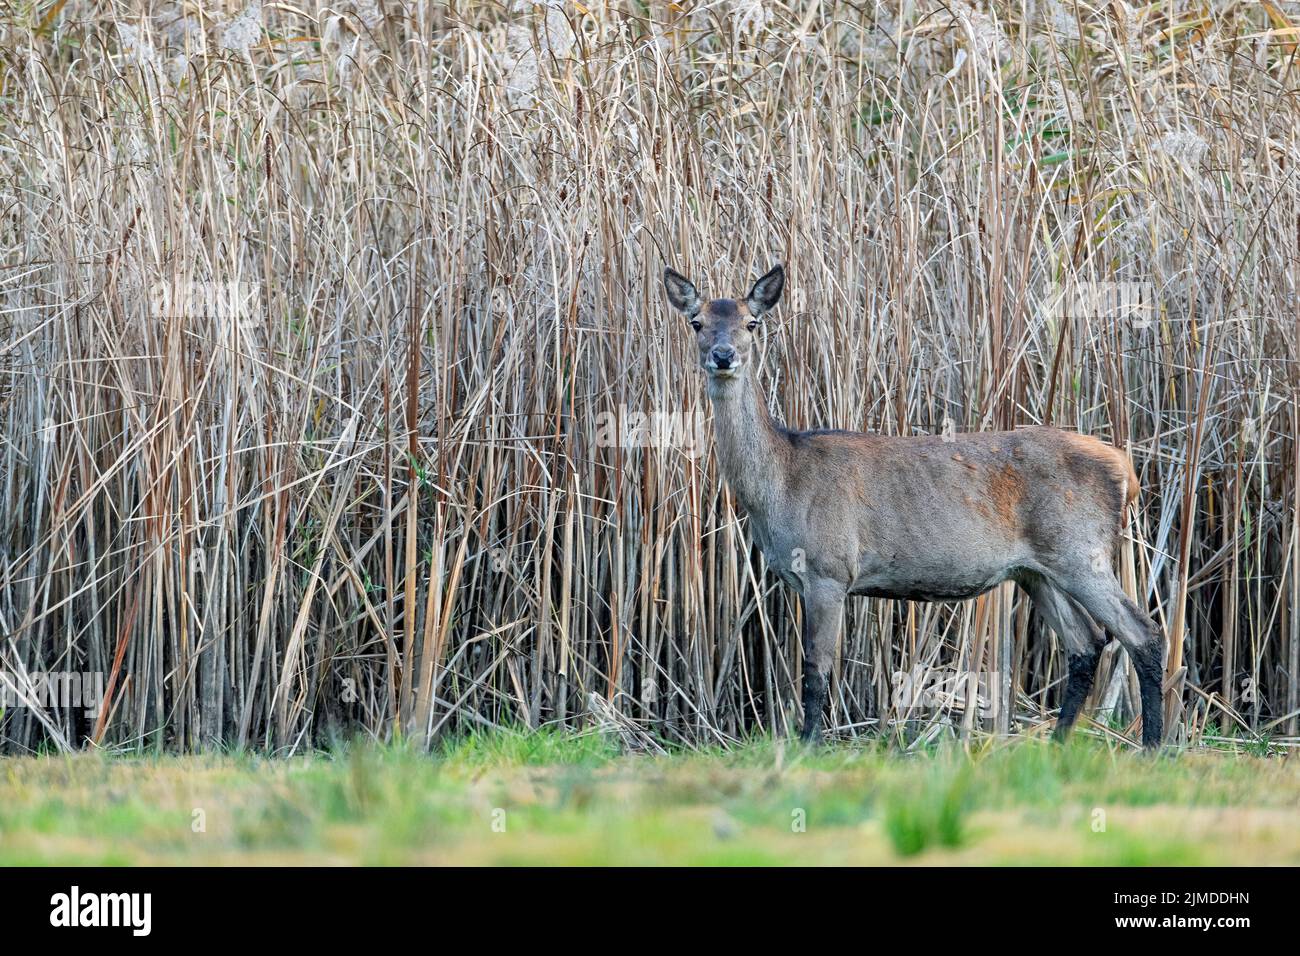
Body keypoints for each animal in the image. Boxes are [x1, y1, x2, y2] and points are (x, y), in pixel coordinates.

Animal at [664, 263, 1166, 749]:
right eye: (696, 322)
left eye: (752, 323)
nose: (723, 355)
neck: (781, 486)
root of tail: (1127, 471)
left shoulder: (829, 568)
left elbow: (815, 670)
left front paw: (808, 745)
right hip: (1036, 570)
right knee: (1086, 642)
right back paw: (1060, 743)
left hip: (1082, 550)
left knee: (1142, 633)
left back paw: (1153, 745)